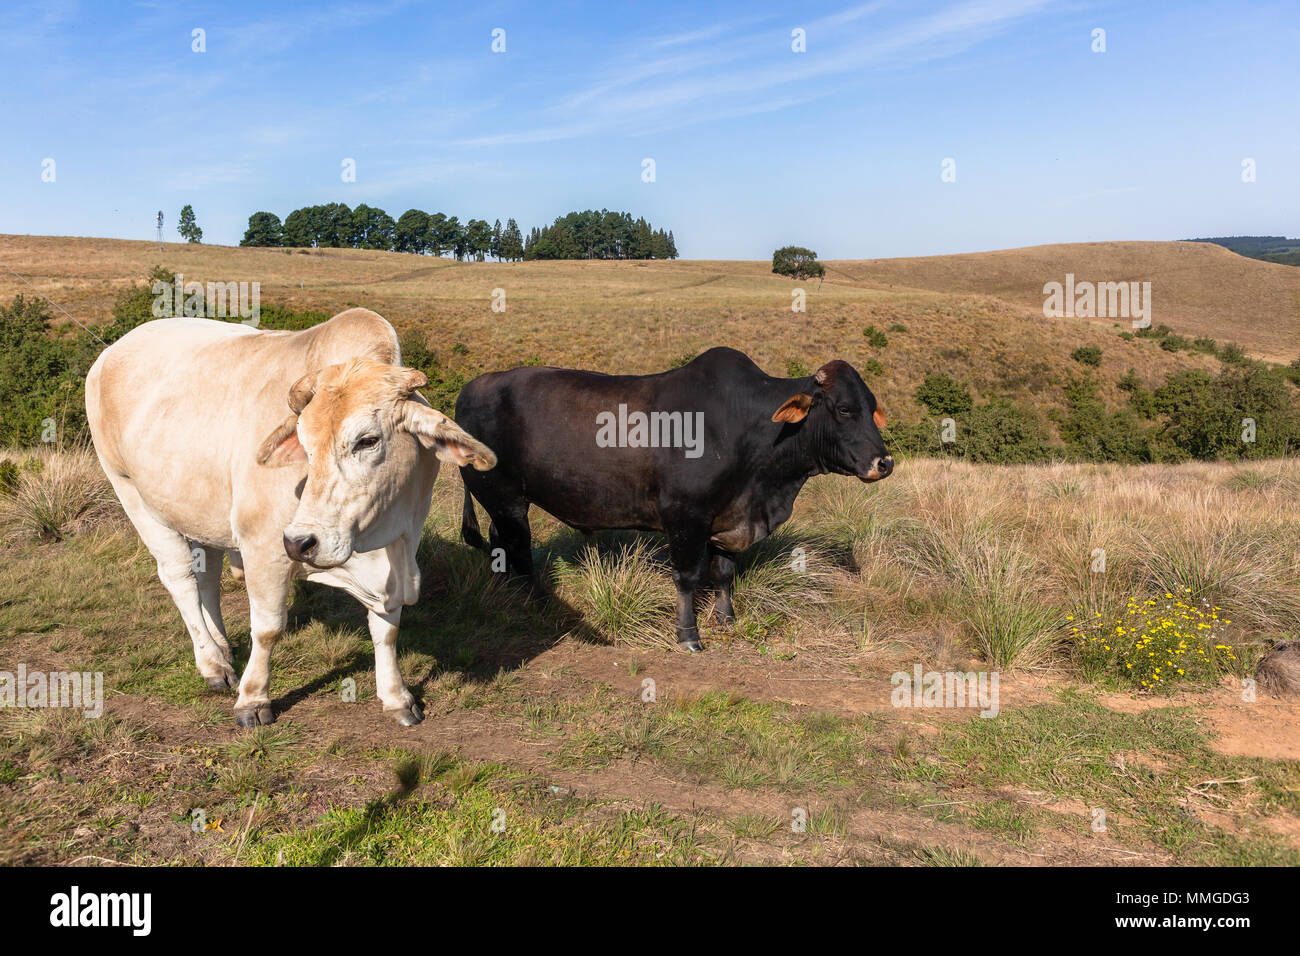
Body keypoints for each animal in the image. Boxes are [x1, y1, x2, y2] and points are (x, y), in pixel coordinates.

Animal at [85, 308, 496, 727]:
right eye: (305, 447)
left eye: (367, 440)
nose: (301, 542)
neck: (384, 539)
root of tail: (112, 352)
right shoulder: (264, 548)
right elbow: (268, 629)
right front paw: (253, 699)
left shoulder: (401, 554)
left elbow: (387, 629)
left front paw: (396, 697)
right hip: (131, 492)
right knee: (180, 578)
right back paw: (212, 663)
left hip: (202, 512)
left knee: (207, 577)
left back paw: (222, 646)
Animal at [455, 347, 892, 651]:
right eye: (844, 409)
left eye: (872, 407)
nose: (884, 462)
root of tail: (472, 387)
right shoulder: (685, 517)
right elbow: (687, 577)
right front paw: (688, 635)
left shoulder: (729, 518)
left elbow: (724, 573)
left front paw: (726, 618)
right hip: (506, 498)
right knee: (519, 549)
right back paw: (538, 601)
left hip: (501, 502)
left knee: (499, 542)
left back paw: (507, 593)